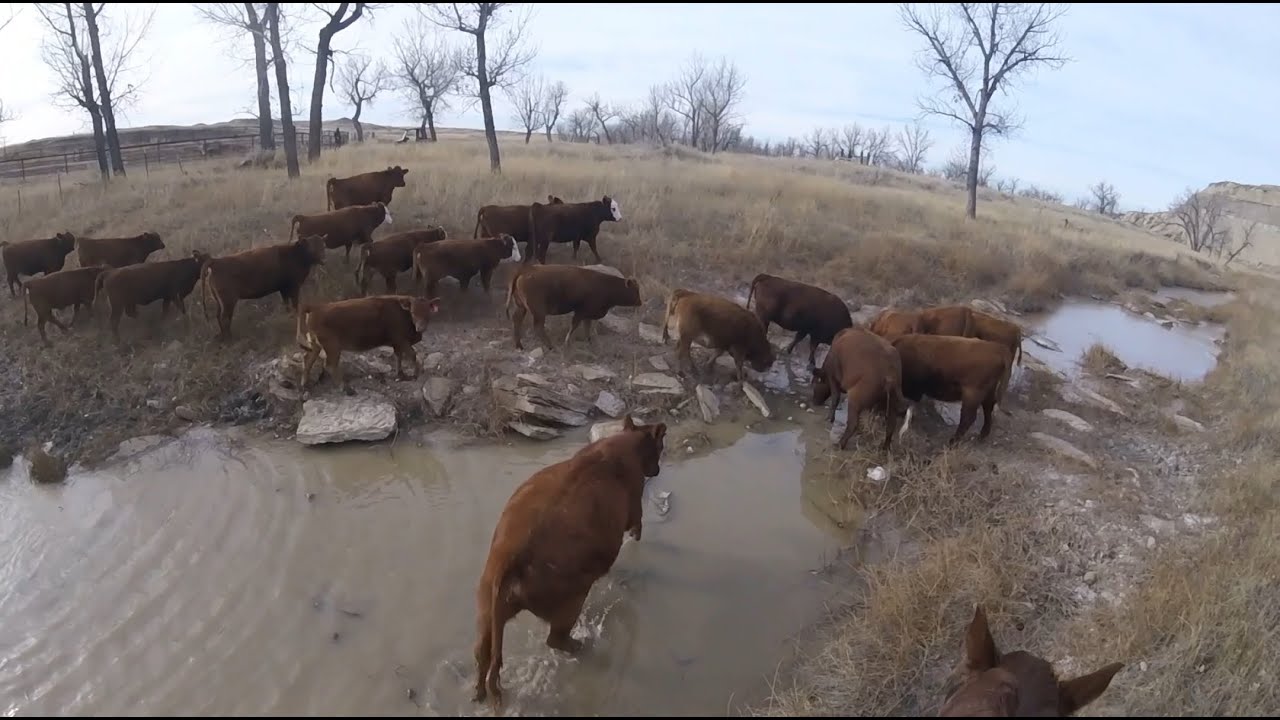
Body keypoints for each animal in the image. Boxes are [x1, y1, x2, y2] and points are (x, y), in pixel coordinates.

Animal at [296, 294, 442, 396]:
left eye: (427, 312)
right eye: (413, 312)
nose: (420, 327)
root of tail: (316, 307)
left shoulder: (397, 343)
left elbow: (398, 357)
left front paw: (400, 375)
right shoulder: (401, 340)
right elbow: (412, 354)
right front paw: (415, 375)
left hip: (315, 344)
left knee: (307, 359)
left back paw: (305, 386)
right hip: (332, 346)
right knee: (329, 365)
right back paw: (347, 389)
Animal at [472, 413, 667, 709]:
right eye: (661, 446)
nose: (657, 471)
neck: (627, 443)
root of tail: (509, 557)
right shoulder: (635, 504)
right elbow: (638, 523)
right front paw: (636, 538)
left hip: (487, 606)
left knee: (483, 652)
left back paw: (479, 693)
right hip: (571, 598)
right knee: (555, 638)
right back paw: (583, 647)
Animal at [504, 263, 643, 350]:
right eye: (635, 290)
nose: (640, 302)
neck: (605, 285)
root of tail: (526, 270)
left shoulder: (587, 314)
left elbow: (586, 328)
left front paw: (589, 341)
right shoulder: (581, 312)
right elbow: (574, 326)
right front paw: (567, 343)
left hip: (522, 307)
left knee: (517, 320)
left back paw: (519, 345)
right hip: (539, 311)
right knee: (538, 327)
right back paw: (551, 347)